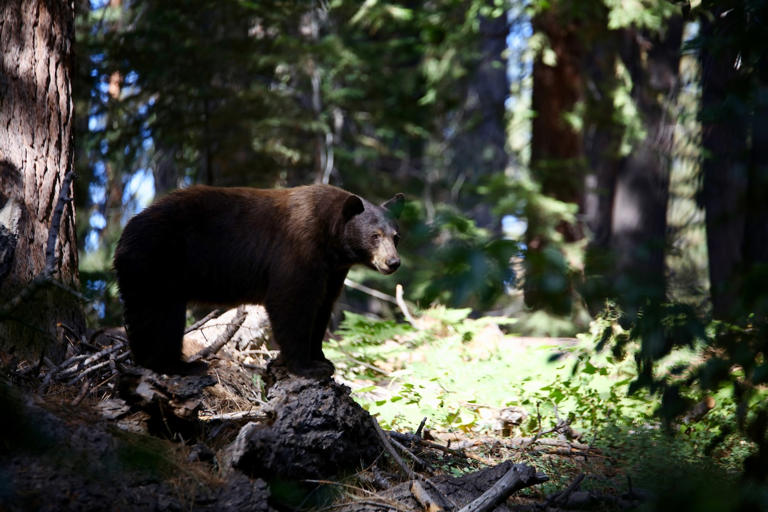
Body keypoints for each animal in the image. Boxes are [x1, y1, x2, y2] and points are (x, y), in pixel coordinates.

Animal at [113, 184, 404, 378]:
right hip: (156, 263)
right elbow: (291, 302)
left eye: (396, 236)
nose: (393, 262)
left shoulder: (332, 271)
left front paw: (322, 358)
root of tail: (125, 233)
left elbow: (322, 307)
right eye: (375, 235)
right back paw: (175, 364)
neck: (331, 240)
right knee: (159, 316)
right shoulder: (298, 249)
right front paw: (306, 366)